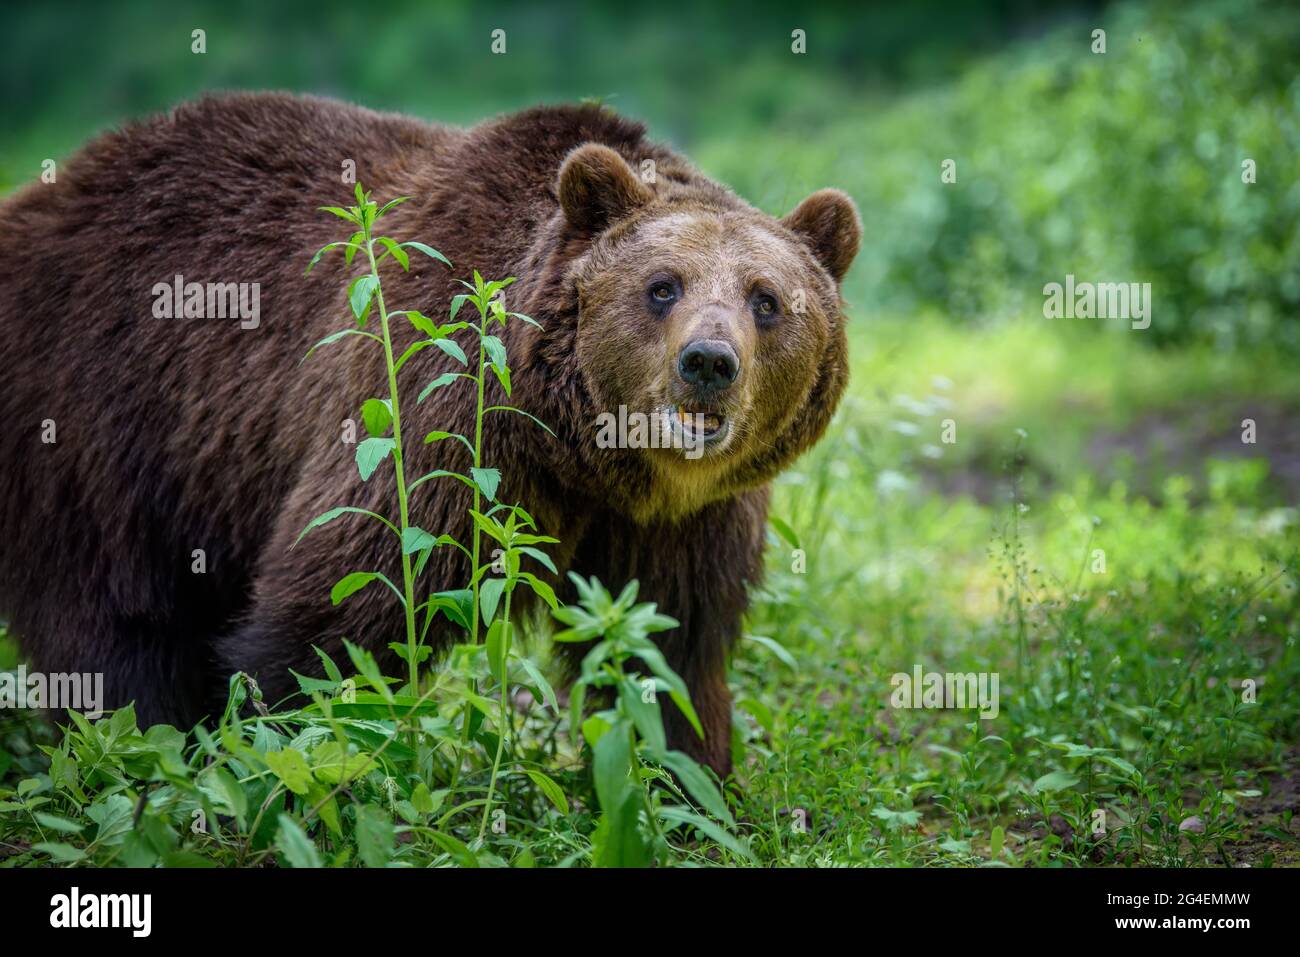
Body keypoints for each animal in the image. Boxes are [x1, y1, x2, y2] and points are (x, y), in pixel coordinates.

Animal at [0, 92, 859, 776]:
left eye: (767, 299)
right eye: (662, 286)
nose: (707, 362)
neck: (590, 455)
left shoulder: (687, 515)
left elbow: (668, 646)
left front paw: (690, 780)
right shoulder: (443, 415)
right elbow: (348, 600)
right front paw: (275, 743)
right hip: (98, 411)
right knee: (112, 618)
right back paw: (138, 743)